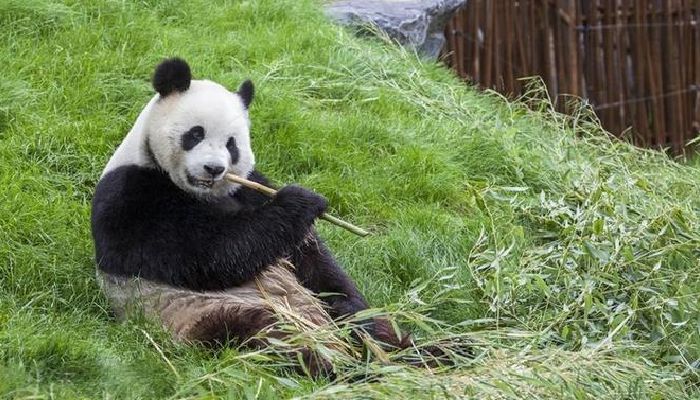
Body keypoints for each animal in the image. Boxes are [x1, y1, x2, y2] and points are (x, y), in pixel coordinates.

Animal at [91, 58, 410, 376]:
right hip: (206, 312)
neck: (199, 193)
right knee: (269, 333)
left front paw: (352, 310)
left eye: (231, 144)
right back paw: (334, 365)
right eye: (195, 134)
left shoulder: (251, 186)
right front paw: (302, 200)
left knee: (385, 330)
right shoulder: (132, 196)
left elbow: (313, 260)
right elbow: (210, 254)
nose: (214, 169)